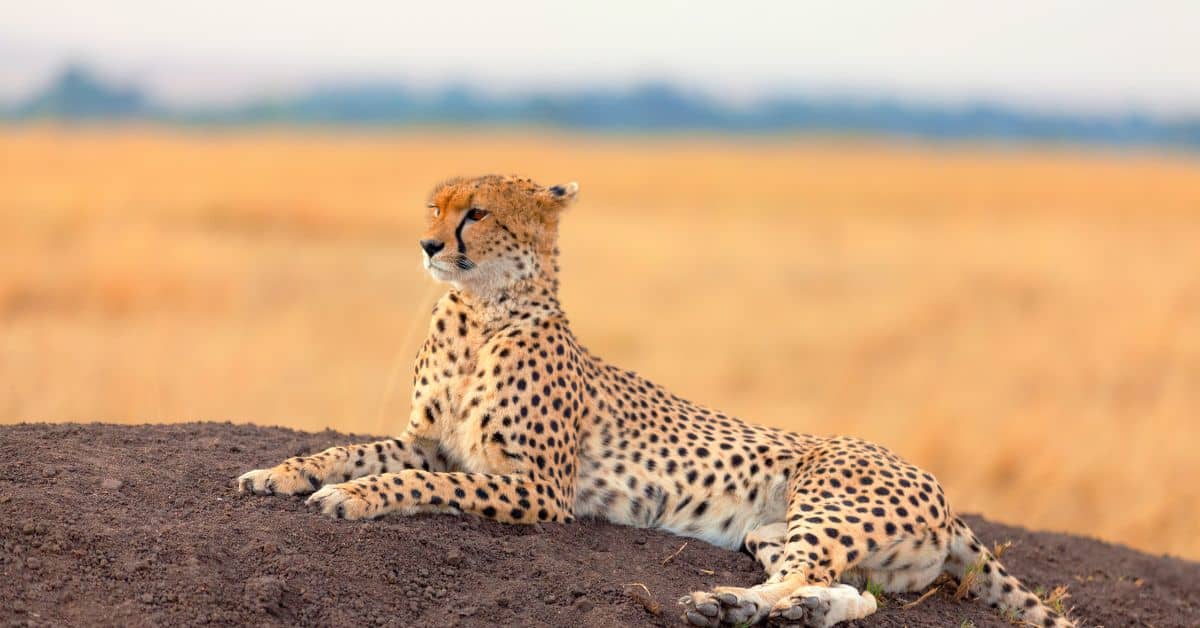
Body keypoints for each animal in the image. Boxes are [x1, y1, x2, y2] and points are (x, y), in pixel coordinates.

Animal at [237, 174, 1075, 627]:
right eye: (434, 209)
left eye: (475, 212)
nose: (428, 246)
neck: (479, 312)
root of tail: (940, 487)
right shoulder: (428, 437)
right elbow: (352, 448)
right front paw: (280, 474)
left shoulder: (539, 490)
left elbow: (415, 480)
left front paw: (354, 498)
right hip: (776, 533)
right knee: (845, 591)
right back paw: (779, 607)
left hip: (826, 504)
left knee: (801, 575)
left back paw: (731, 604)